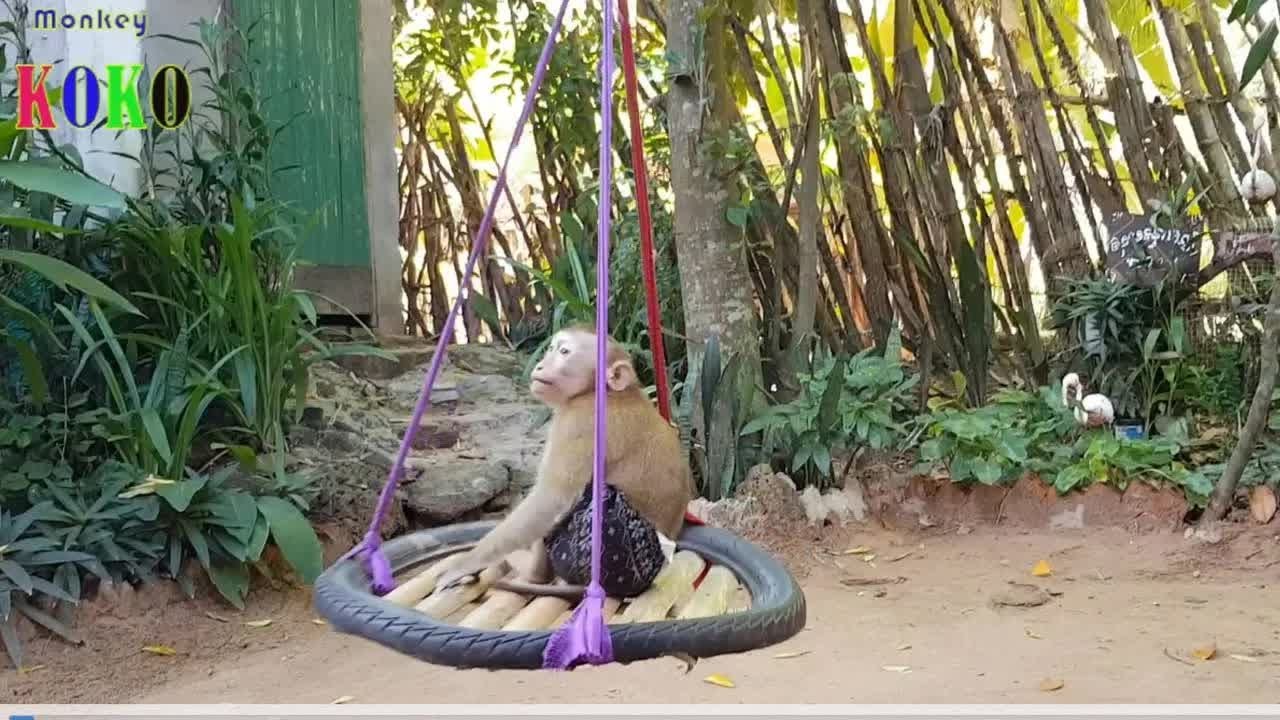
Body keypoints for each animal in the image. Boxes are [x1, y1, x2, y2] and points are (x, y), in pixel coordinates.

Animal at [432, 325, 693, 597]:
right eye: (551, 349)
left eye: (564, 352)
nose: (540, 365)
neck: (605, 391)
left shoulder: (577, 420)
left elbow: (551, 499)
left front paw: (463, 565)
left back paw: (534, 574)